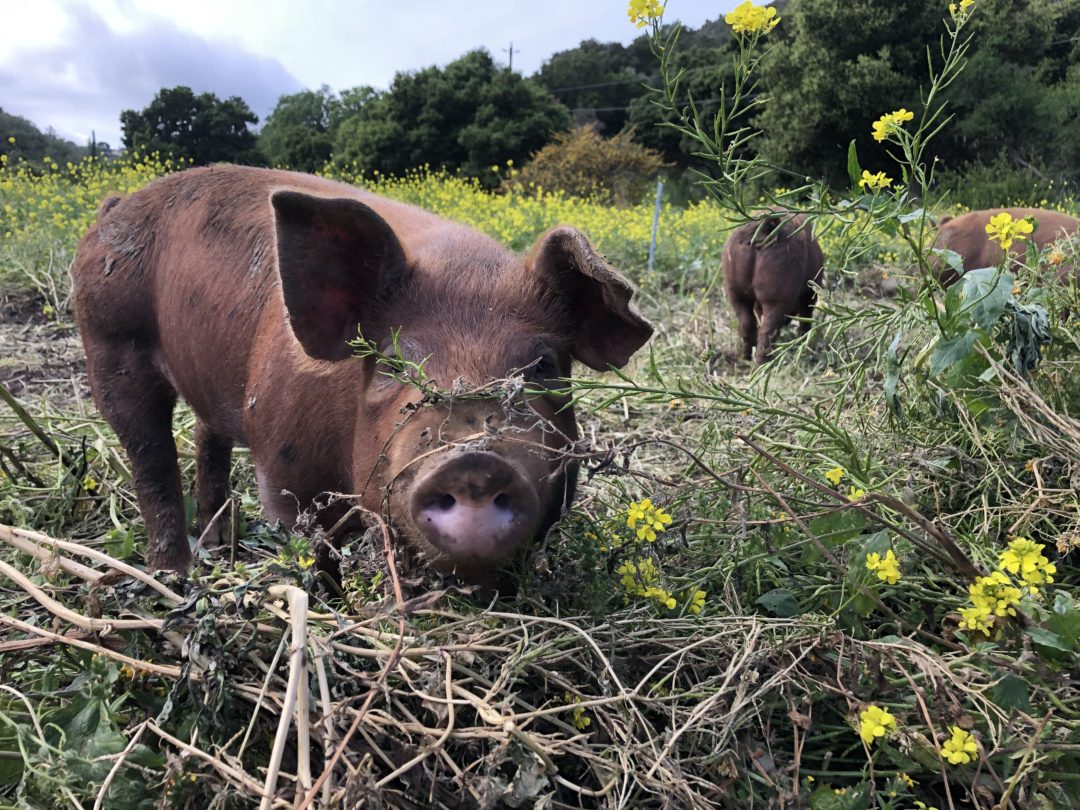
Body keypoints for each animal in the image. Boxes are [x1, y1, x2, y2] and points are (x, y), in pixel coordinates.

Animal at [70, 165, 652, 581]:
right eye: (394, 362)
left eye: (544, 367)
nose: (473, 461)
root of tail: (115, 206)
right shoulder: (285, 477)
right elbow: (314, 554)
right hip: (110, 345)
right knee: (151, 460)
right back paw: (175, 578)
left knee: (206, 438)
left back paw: (221, 546)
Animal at [722, 213, 824, 363]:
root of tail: (765, 227)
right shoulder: (810, 291)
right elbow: (806, 315)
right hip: (777, 295)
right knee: (768, 331)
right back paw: (763, 363)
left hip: (734, 290)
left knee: (746, 322)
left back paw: (745, 358)